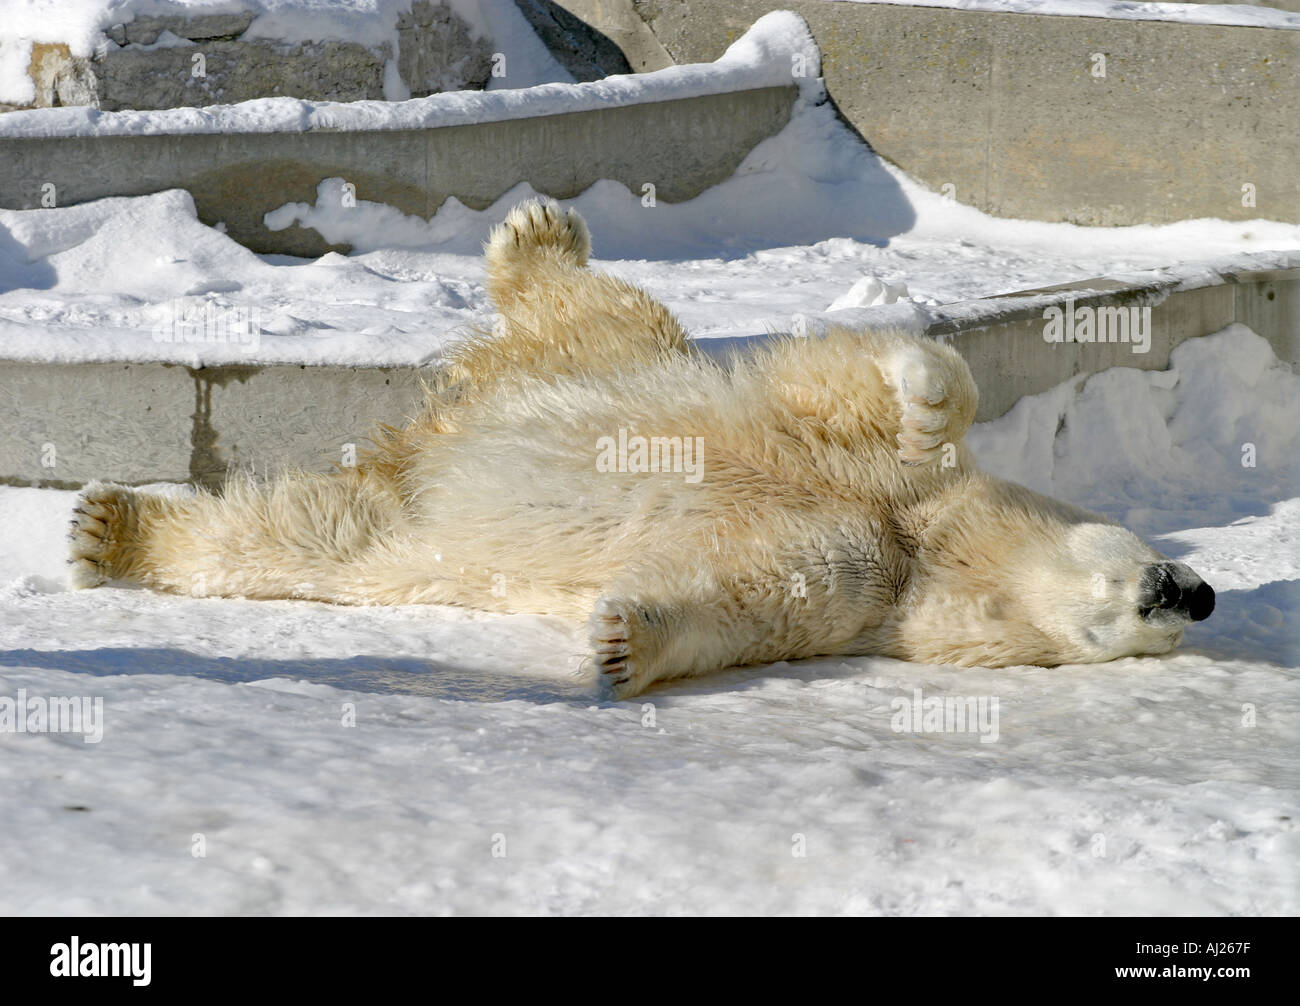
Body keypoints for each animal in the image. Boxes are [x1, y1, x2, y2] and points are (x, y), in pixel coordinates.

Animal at [68, 199, 1215, 698]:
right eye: (1138, 591)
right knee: (610, 309)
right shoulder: (862, 471)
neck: (920, 544)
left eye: (1135, 637)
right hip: (618, 367)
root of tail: (431, 432)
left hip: (402, 529)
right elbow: (857, 384)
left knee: (294, 537)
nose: (1192, 593)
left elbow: (742, 598)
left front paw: (623, 642)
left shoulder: (860, 592)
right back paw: (539, 233)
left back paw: (111, 531)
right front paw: (928, 397)